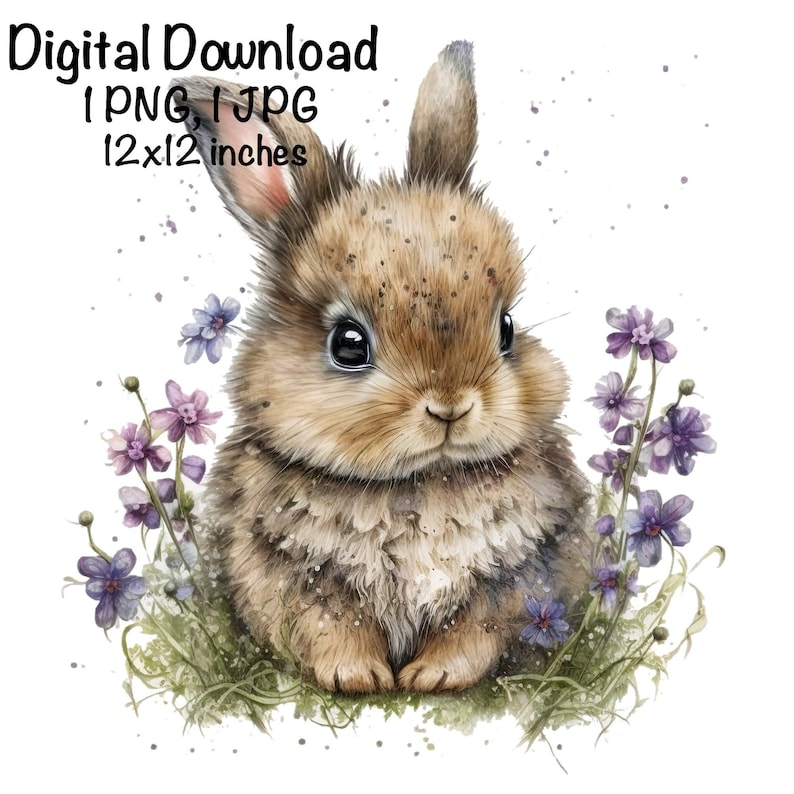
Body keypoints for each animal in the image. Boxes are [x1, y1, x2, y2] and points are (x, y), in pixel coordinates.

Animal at [178, 40, 593, 694]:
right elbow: (327, 629)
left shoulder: (519, 579)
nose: (451, 406)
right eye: (349, 344)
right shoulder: (293, 580)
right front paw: (361, 677)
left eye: (505, 329)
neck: (417, 485)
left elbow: (477, 632)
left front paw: (431, 677)